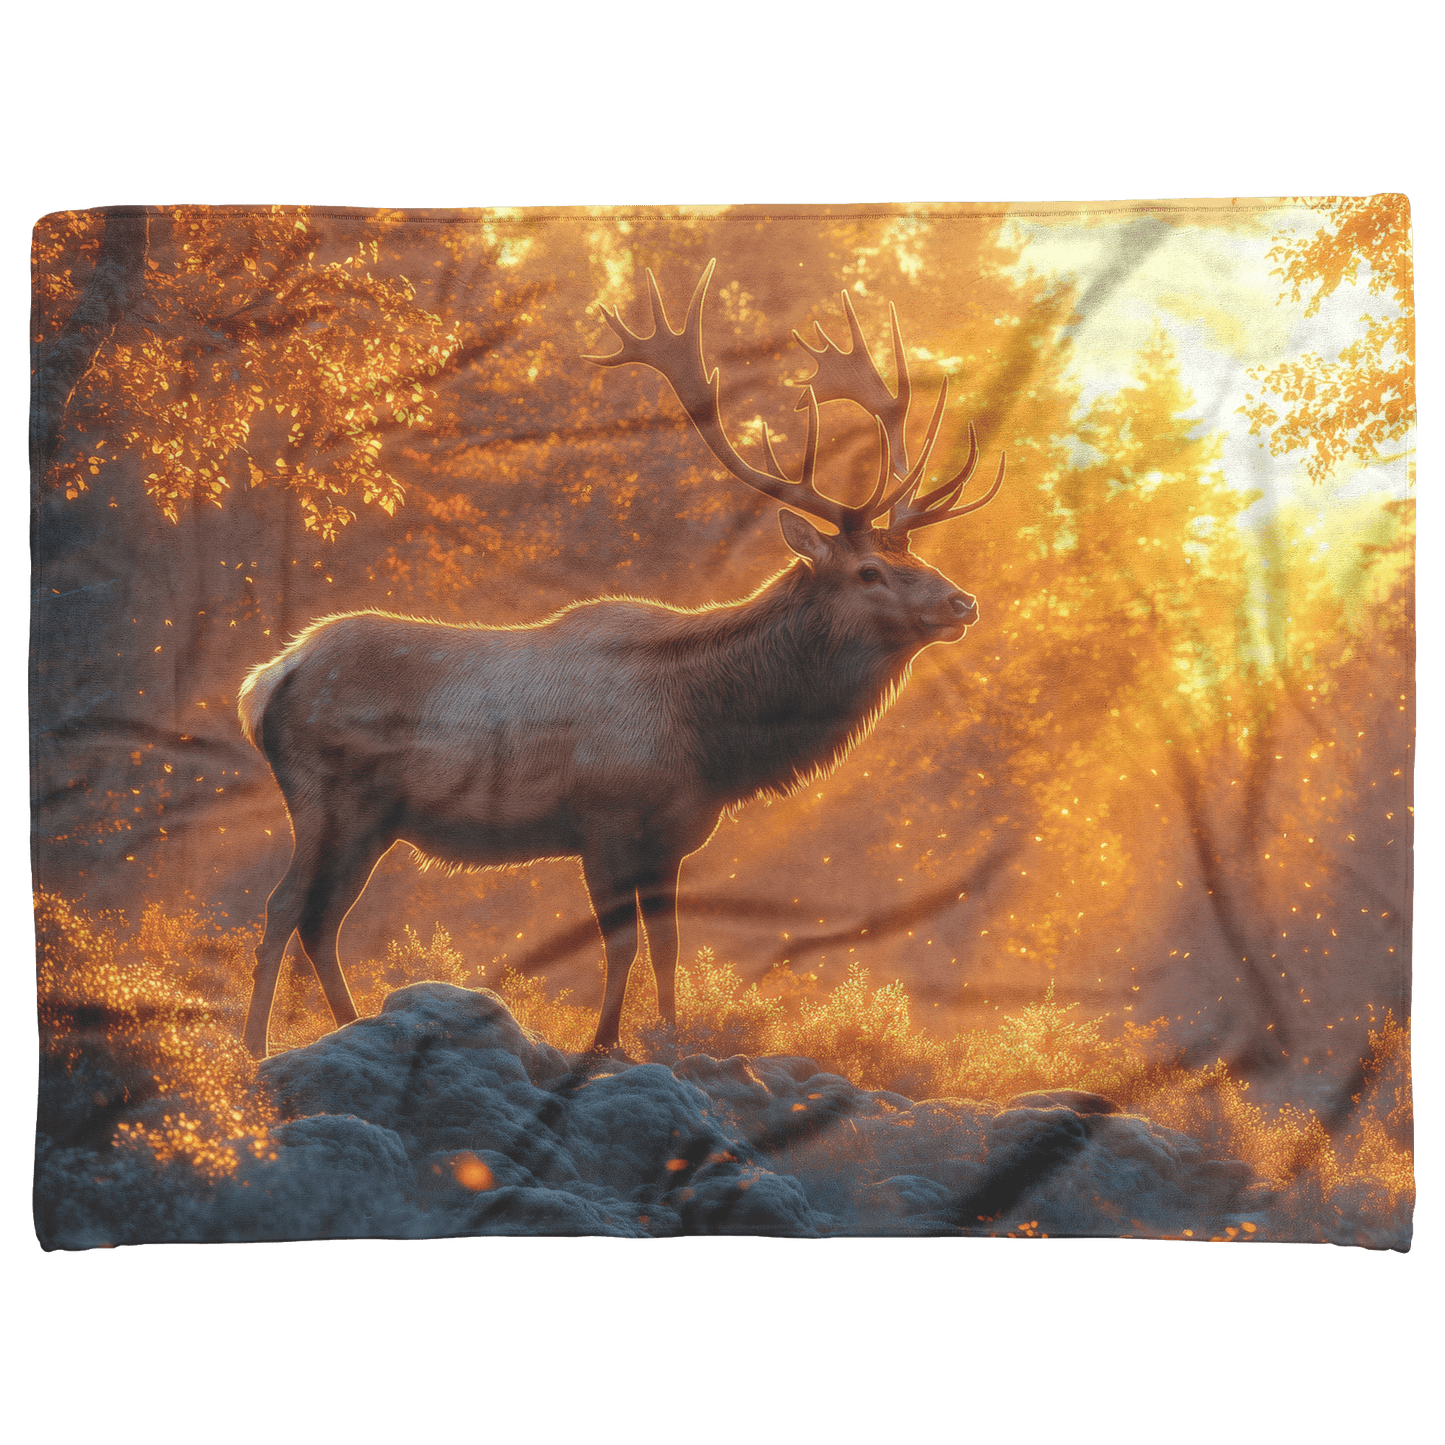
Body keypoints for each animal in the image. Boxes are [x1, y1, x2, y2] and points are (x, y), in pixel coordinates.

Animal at [236, 260, 1004, 1060]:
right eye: (869, 572)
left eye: (913, 556)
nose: (963, 603)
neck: (710, 739)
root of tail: (265, 680)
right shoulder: (603, 818)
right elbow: (621, 945)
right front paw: (603, 1044)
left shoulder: (671, 836)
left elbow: (667, 945)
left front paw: (671, 1038)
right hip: (325, 795)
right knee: (285, 906)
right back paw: (255, 1047)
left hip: (375, 818)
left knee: (322, 919)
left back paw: (349, 1025)